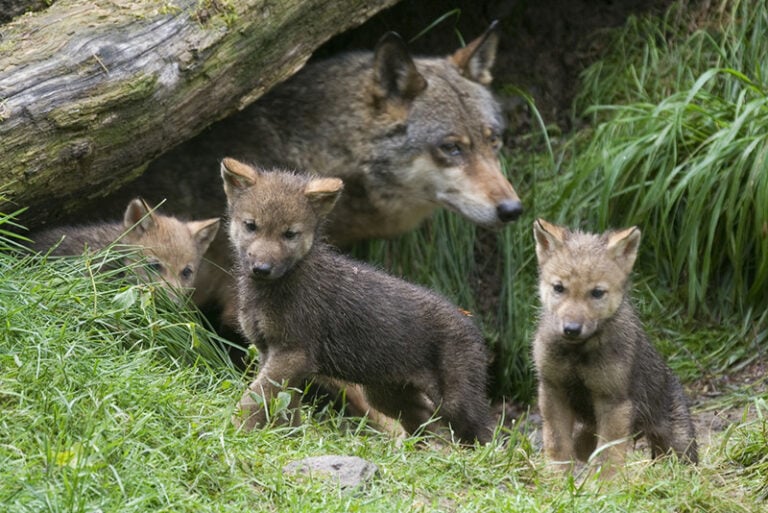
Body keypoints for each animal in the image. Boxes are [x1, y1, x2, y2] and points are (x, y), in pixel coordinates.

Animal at [222, 158, 493, 444]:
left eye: (290, 234)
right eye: (251, 225)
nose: (261, 269)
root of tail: (470, 322)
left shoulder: (293, 352)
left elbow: (255, 398)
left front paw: (234, 431)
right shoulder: (270, 352)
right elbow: (283, 407)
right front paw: (285, 438)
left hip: (455, 403)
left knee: (486, 432)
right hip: (387, 393)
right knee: (424, 420)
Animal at [532, 219, 697, 472]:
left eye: (597, 292)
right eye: (559, 288)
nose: (571, 329)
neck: (578, 354)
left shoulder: (613, 400)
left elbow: (608, 455)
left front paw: (602, 482)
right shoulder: (553, 389)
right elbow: (558, 445)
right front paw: (557, 477)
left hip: (677, 444)